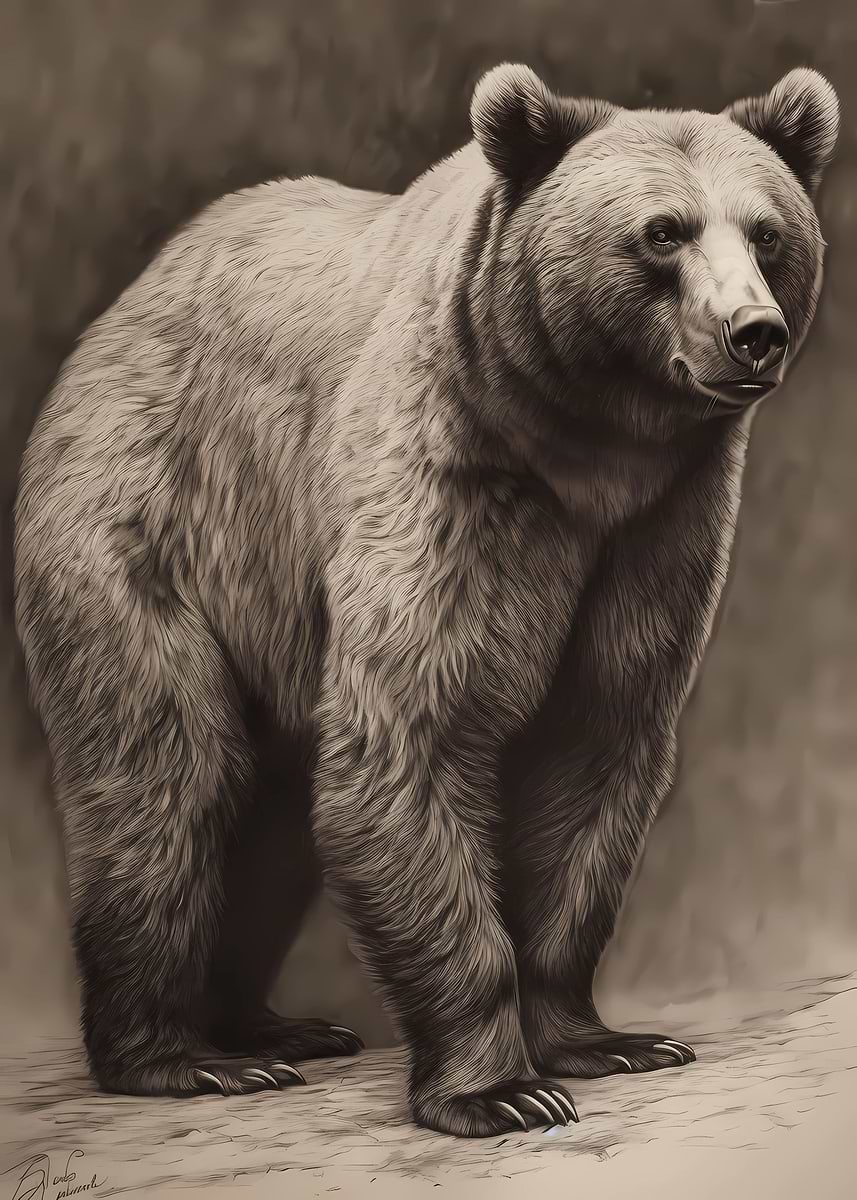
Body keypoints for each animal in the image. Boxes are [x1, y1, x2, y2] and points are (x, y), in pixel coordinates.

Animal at [13, 62, 838, 1137]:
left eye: (767, 232)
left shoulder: (657, 528)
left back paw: (273, 1026)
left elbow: (593, 748)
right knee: (168, 781)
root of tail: (122, 308)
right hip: (145, 523)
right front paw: (500, 1087)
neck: (586, 449)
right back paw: (179, 1056)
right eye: (662, 231)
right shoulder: (450, 474)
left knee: (270, 817)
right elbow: (414, 733)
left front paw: (602, 1039)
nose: (752, 334)